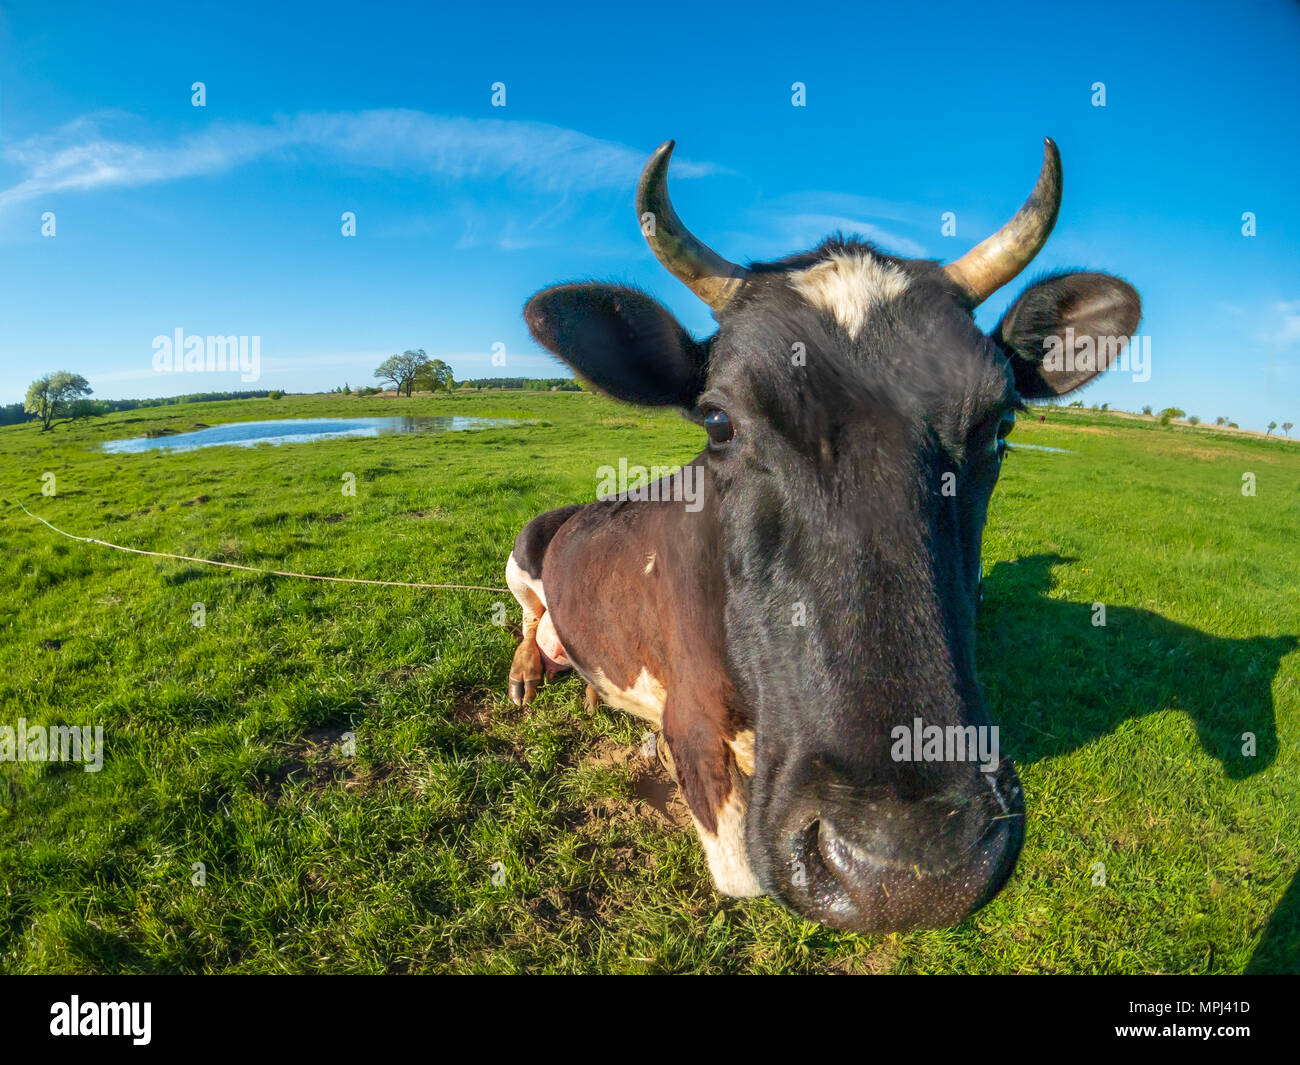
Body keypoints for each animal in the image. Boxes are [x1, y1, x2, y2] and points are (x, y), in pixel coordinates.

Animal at [505, 139, 1141, 933]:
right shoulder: (695, 732)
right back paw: (529, 672)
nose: (905, 867)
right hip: (525, 547)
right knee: (527, 619)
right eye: (719, 421)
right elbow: (743, 873)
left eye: (1000, 425)